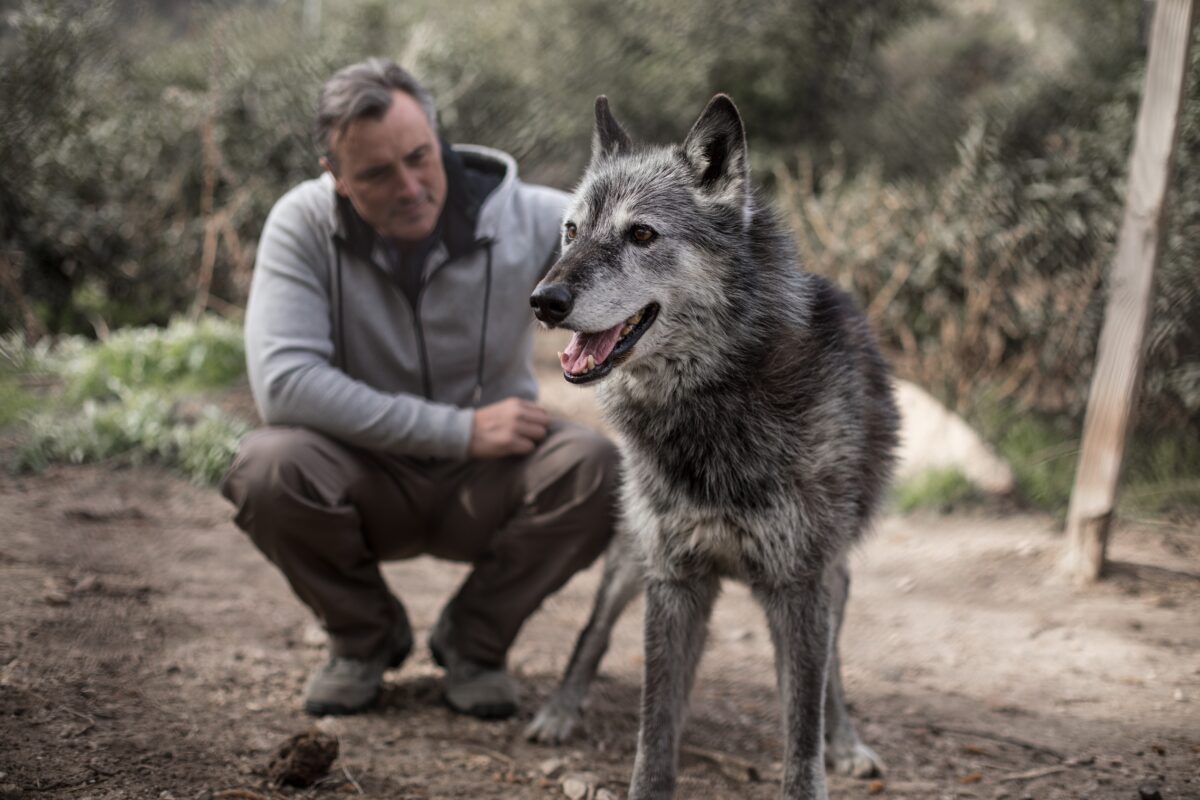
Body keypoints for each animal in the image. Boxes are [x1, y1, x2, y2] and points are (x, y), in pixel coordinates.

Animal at [526, 94, 899, 800]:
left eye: (642, 235)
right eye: (570, 231)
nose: (544, 301)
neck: (716, 402)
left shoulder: (801, 583)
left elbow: (802, 726)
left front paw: (823, 749)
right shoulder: (674, 579)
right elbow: (654, 731)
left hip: (832, 575)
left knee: (830, 669)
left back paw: (847, 740)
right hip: (632, 556)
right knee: (593, 629)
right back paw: (558, 711)